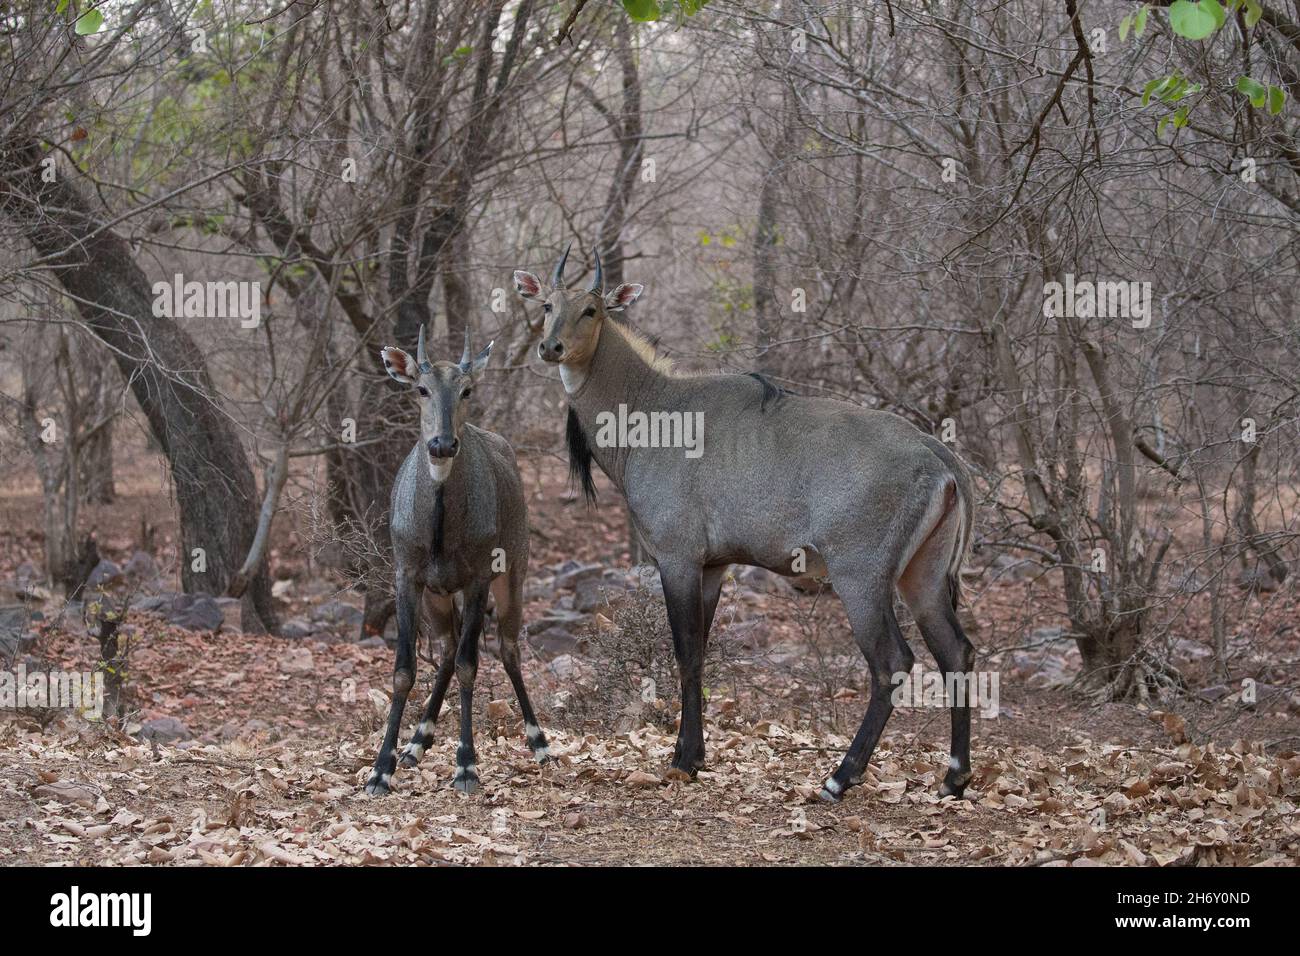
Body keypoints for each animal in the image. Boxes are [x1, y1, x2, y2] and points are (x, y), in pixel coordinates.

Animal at [365, 325, 551, 795]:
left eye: (467, 389)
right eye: (421, 388)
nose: (443, 444)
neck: (440, 526)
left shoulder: (479, 578)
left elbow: (471, 665)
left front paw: (466, 765)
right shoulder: (408, 577)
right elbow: (404, 670)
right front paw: (380, 769)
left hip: (512, 574)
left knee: (506, 649)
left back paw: (539, 742)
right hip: (438, 595)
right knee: (446, 651)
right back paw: (416, 743)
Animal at [514, 244, 977, 802]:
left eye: (592, 309)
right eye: (546, 305)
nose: (550, 347)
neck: (651, 407)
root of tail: (941, 458)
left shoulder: (677, 556)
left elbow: (685, 652)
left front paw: (683, 760)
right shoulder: (714, 566)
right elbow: (700, 650)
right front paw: (694, 754)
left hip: (860, 576)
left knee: (892, 663)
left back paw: (839, 778)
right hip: (922, 576)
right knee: (956, 652)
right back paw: (954, 777)